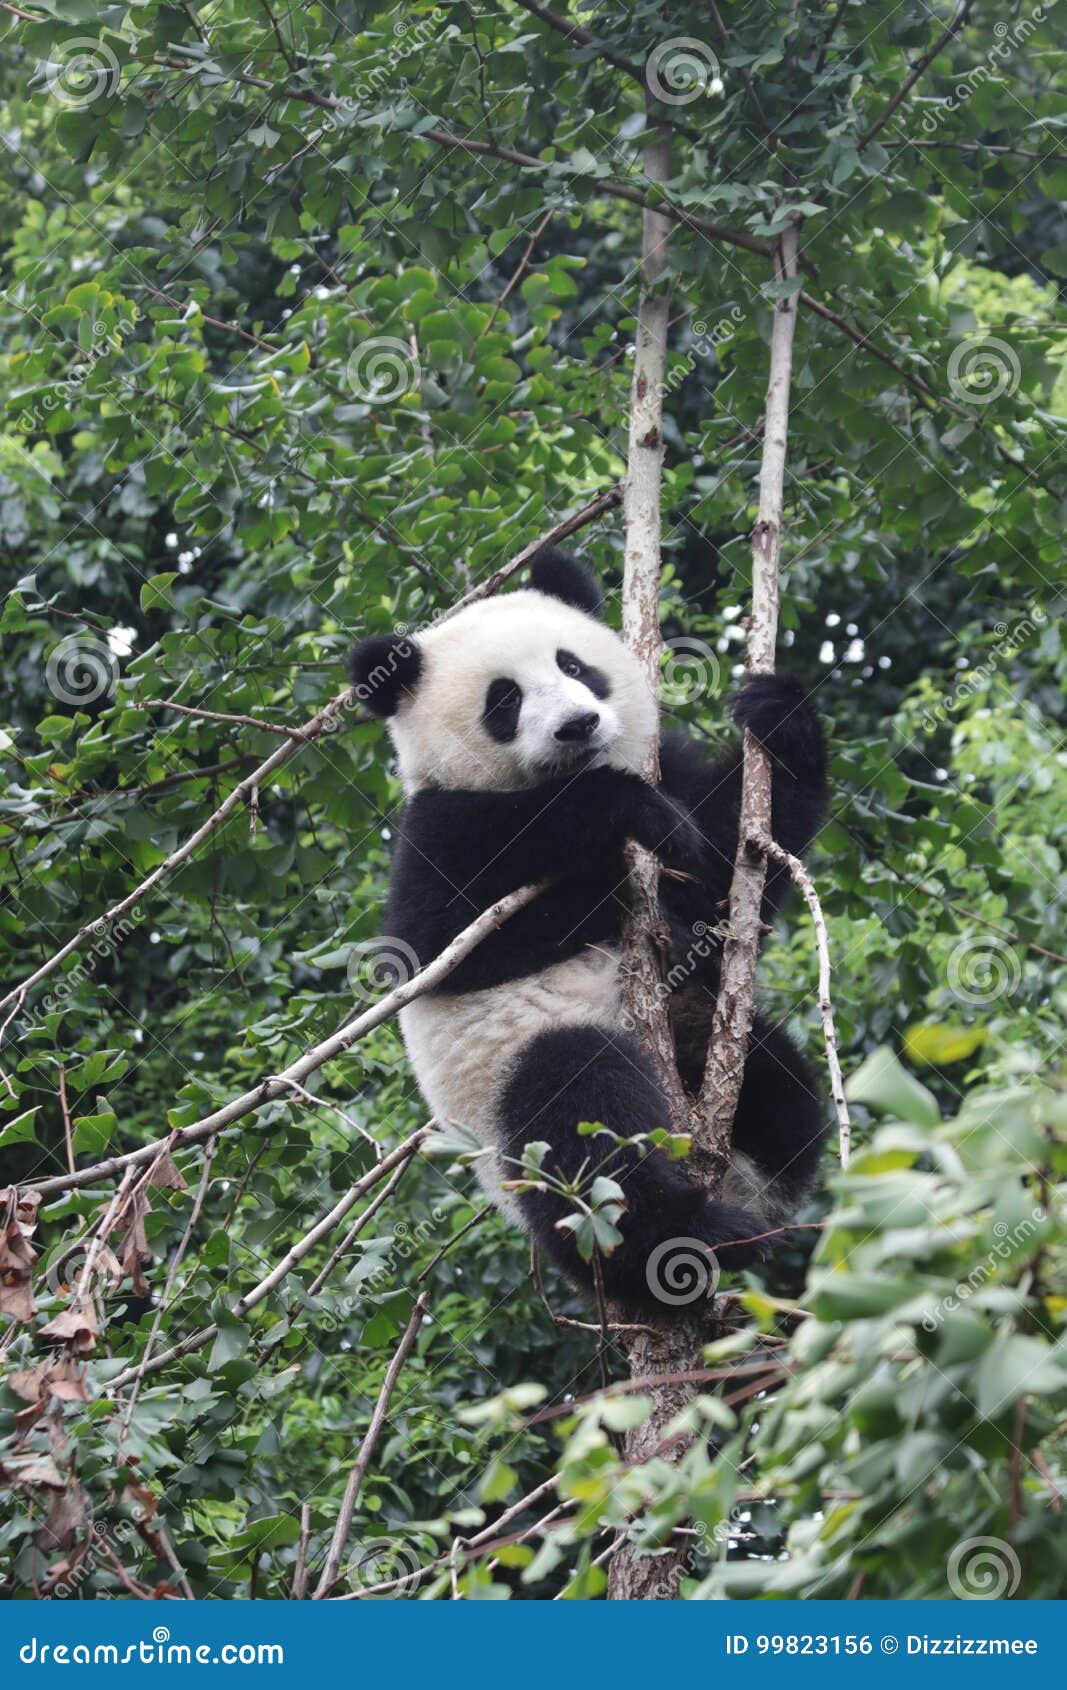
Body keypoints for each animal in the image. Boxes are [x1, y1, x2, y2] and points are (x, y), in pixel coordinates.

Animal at [349, 547, 828, 1317]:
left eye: (573, 665)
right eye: (504, 701)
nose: (576, 725)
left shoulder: (668, 770)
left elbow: (726, 882)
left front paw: (779, 721)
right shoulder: (436, 830)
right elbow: (441, 945)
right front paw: (618, 812)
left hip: (713, 1040)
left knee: (773, 1072)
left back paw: (767, 1179)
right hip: (509, 1109)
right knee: (576, 1111)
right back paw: (689, 1236)